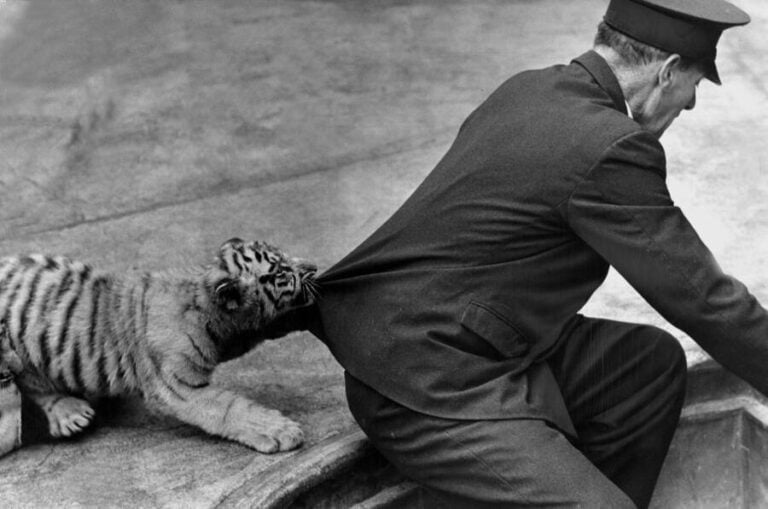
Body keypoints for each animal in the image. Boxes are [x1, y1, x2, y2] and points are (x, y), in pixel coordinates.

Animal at [0, 237, 318, 454]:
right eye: (281, 272)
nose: (314, 266)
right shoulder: (177, 384)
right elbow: (228, 407)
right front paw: (280, 430)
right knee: (32, 388)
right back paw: (70, 412)